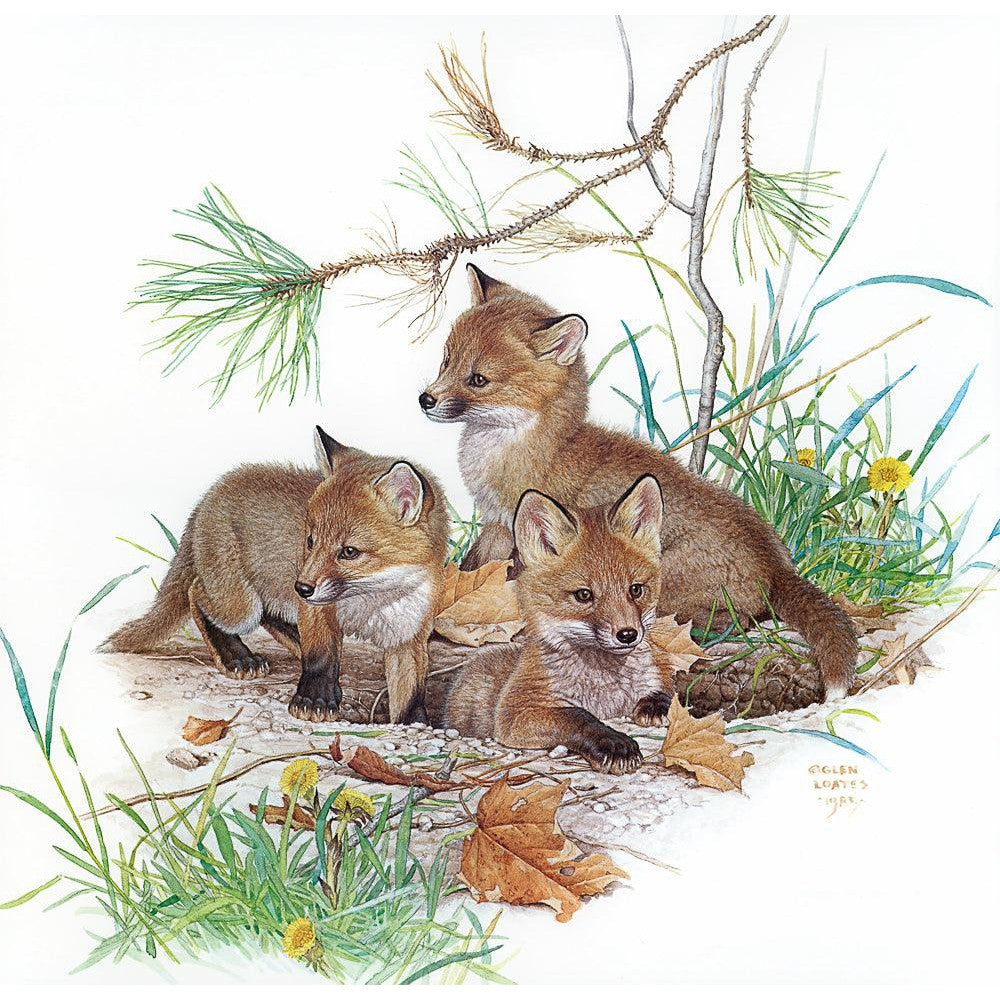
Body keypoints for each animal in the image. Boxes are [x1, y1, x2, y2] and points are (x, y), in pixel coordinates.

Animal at [102, 426, 448, 724]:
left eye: (349, 552)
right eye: (310, 541)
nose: (302, 587)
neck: (373, 601)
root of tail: (208, 498)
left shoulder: (408, 634)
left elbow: (411, 690)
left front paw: (415, 722)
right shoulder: (317, 611)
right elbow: (321, 657)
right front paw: (314, 700)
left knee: (268, 613)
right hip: (238, 606)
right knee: (196, 593)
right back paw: (236, 657)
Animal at [421, 264, 859, 701]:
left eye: (478, 380)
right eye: (445, 362)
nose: (425, 399)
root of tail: (777, 562)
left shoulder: (516, 530)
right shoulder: (495, 523)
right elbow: (471, 566)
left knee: (727, 618)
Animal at [445, 476, 671, 773]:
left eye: (635, 590)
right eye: (584, 595)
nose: (627, 634)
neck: (605, 688)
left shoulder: (658, 673)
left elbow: (668, 691)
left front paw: (655, 705)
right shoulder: (515, 712)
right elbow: (577, 716)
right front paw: (613, 743)